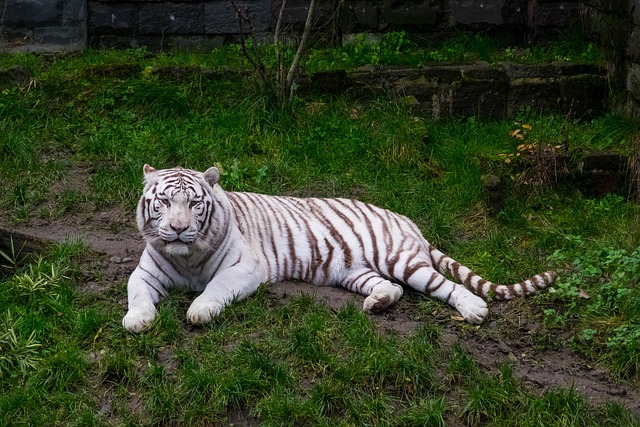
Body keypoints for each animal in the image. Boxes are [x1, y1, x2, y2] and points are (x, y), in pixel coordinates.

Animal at [122, 165, 556, 333]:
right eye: (163, 202)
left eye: (194, 203)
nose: (179, 229)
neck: (186, 258)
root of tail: (408, 220)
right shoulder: (146, 271)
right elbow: (136, 293)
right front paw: (137, 320)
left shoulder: (244, 269)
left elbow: (214, 289)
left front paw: (199, 310)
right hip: (355, 271)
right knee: (391, 288)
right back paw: (377, 304)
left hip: (401, 259)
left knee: (445, 285)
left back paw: (474, 310)